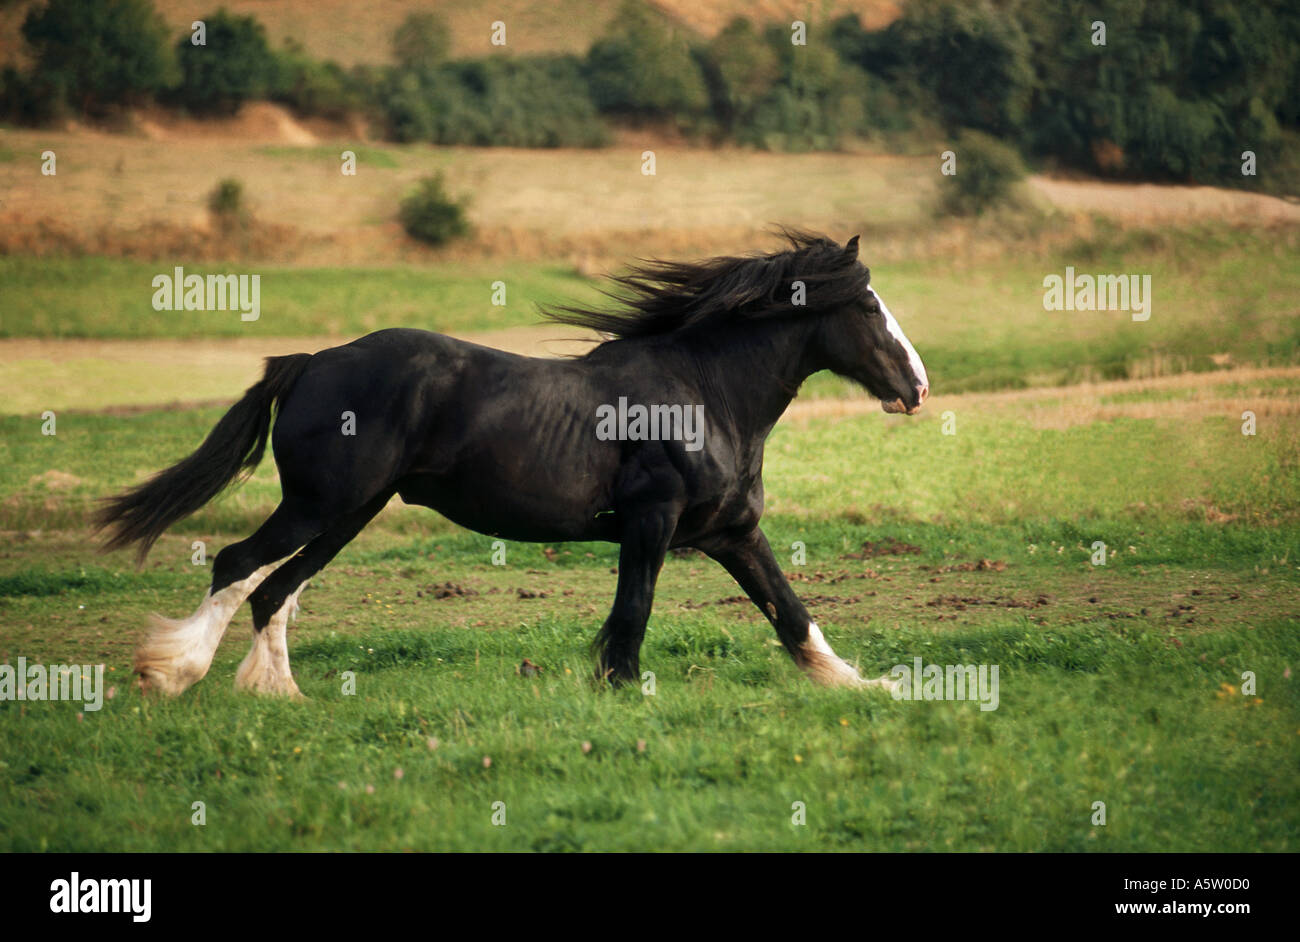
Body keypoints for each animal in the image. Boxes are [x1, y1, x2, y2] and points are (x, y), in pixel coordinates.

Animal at [95, 231, 929, 697]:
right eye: (866, 307)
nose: (918, 387)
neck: (705, 394)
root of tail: (308, 363)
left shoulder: (732, 532)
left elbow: (791, 615)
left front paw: (864, 686)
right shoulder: (651, 521)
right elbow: (632, 616)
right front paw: (619, 691)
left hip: (349, 514)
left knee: (274, 590)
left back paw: (281, 695)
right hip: (318, 506)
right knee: (239, 566)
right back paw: (170, 674)